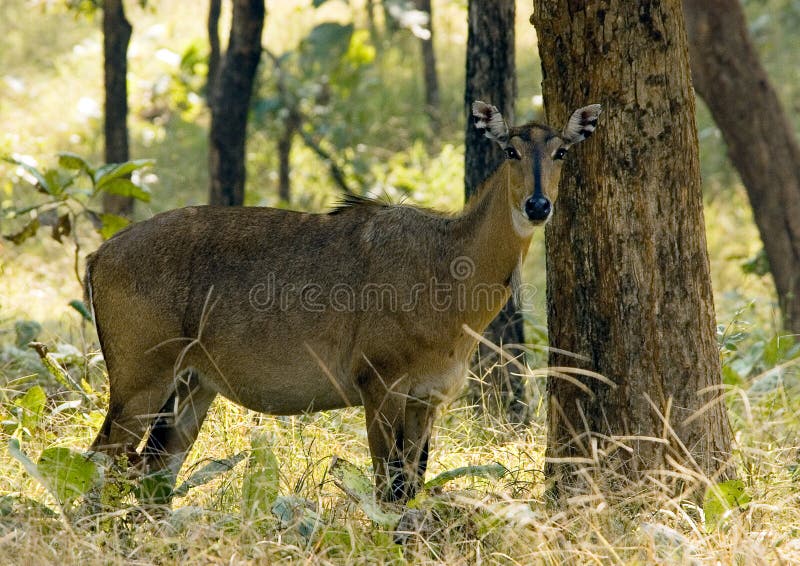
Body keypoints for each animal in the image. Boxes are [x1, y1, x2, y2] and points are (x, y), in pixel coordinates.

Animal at [87, 101, 601, 504]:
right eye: (511, 150)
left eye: (560, 151)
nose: (538, 205)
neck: (447, 264)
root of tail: (98, 256)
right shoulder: (380, 385)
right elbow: (386, 491)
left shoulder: (428, 398)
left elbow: (411, 489)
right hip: (140, 380)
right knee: (101, 461)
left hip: (192, 386)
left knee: (153, 474)